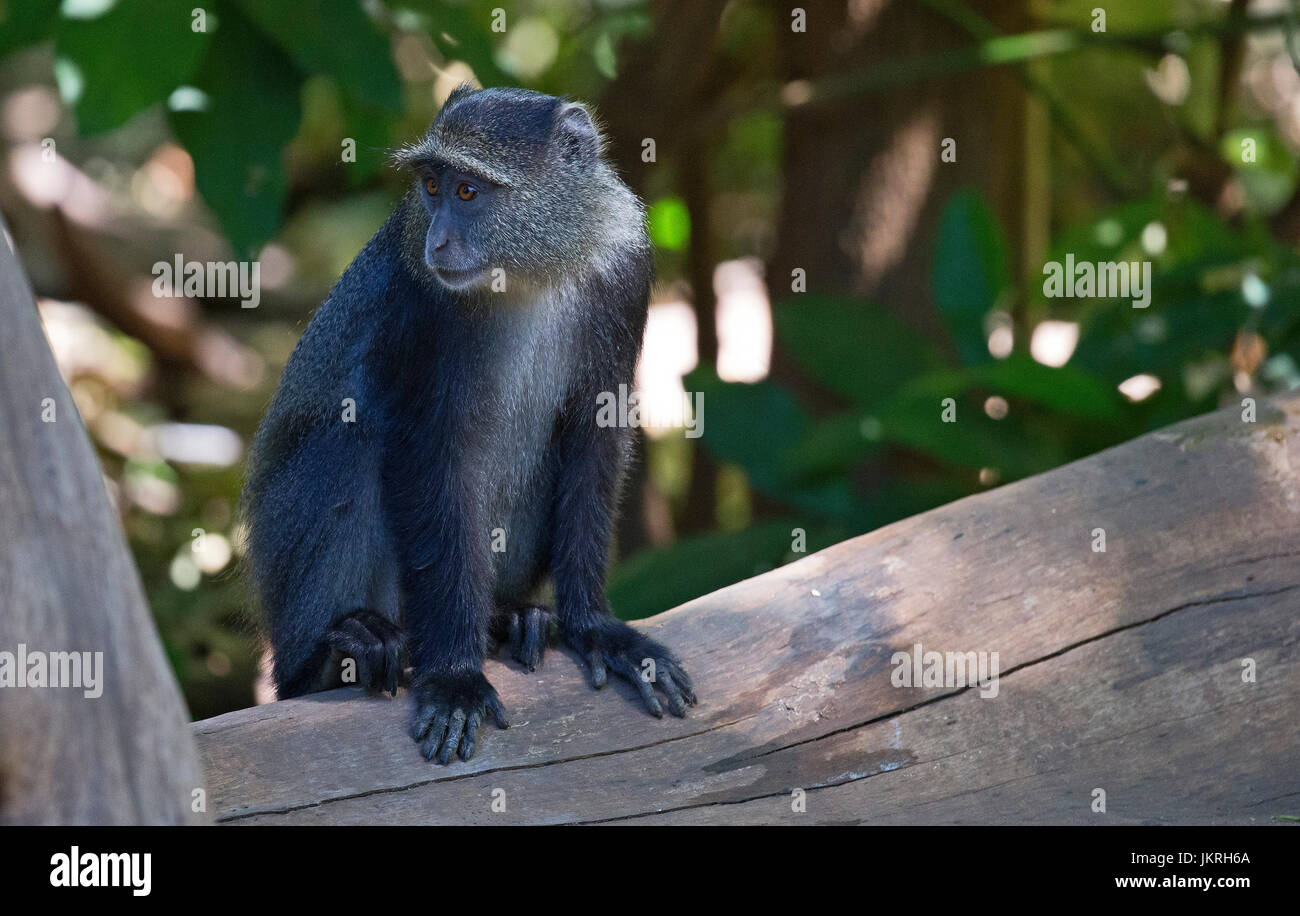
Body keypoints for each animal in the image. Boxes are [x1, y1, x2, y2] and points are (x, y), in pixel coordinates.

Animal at [241, 86, 696, 765]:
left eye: (466, 192)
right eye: (431, 186)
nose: (436, 242)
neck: (532, 269)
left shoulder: (623, 271)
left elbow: (593, 442)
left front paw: (598, 630)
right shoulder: (424, 309)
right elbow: (432, 457)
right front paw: (455, 677)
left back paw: (513, 619)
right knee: (350, 440)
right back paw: (329, 659)